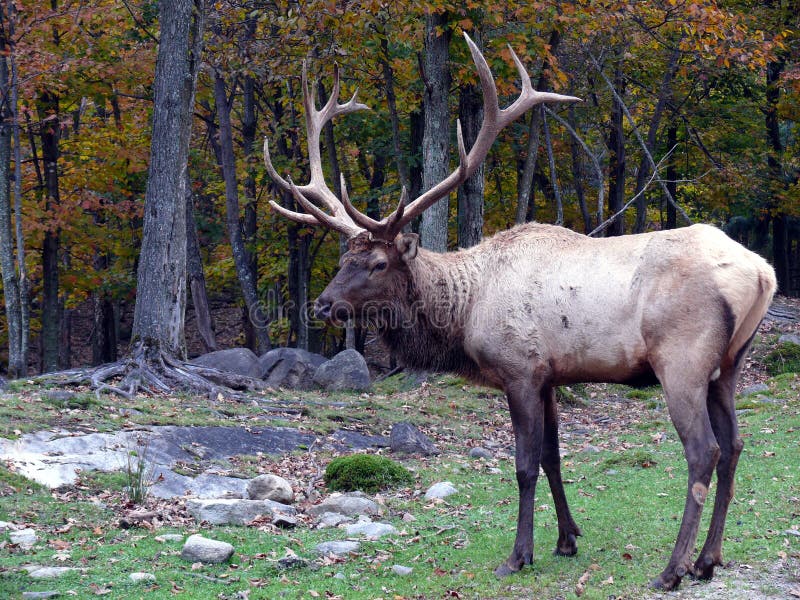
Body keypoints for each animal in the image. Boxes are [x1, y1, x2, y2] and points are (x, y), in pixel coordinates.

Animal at [263, 33, 777, 591]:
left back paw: (672, 569)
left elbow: (525, 465)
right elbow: (553, 457)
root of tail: (763, 271)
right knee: (734, 446)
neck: (465, 311)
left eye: (378, 263)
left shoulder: (520, 369)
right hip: (729, 365)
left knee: (703, 451)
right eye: (343, 259)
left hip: (682, 359)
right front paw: (567, 539)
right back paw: (708, 561)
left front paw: (518, 555)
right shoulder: (551, 375)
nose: (323, 304)